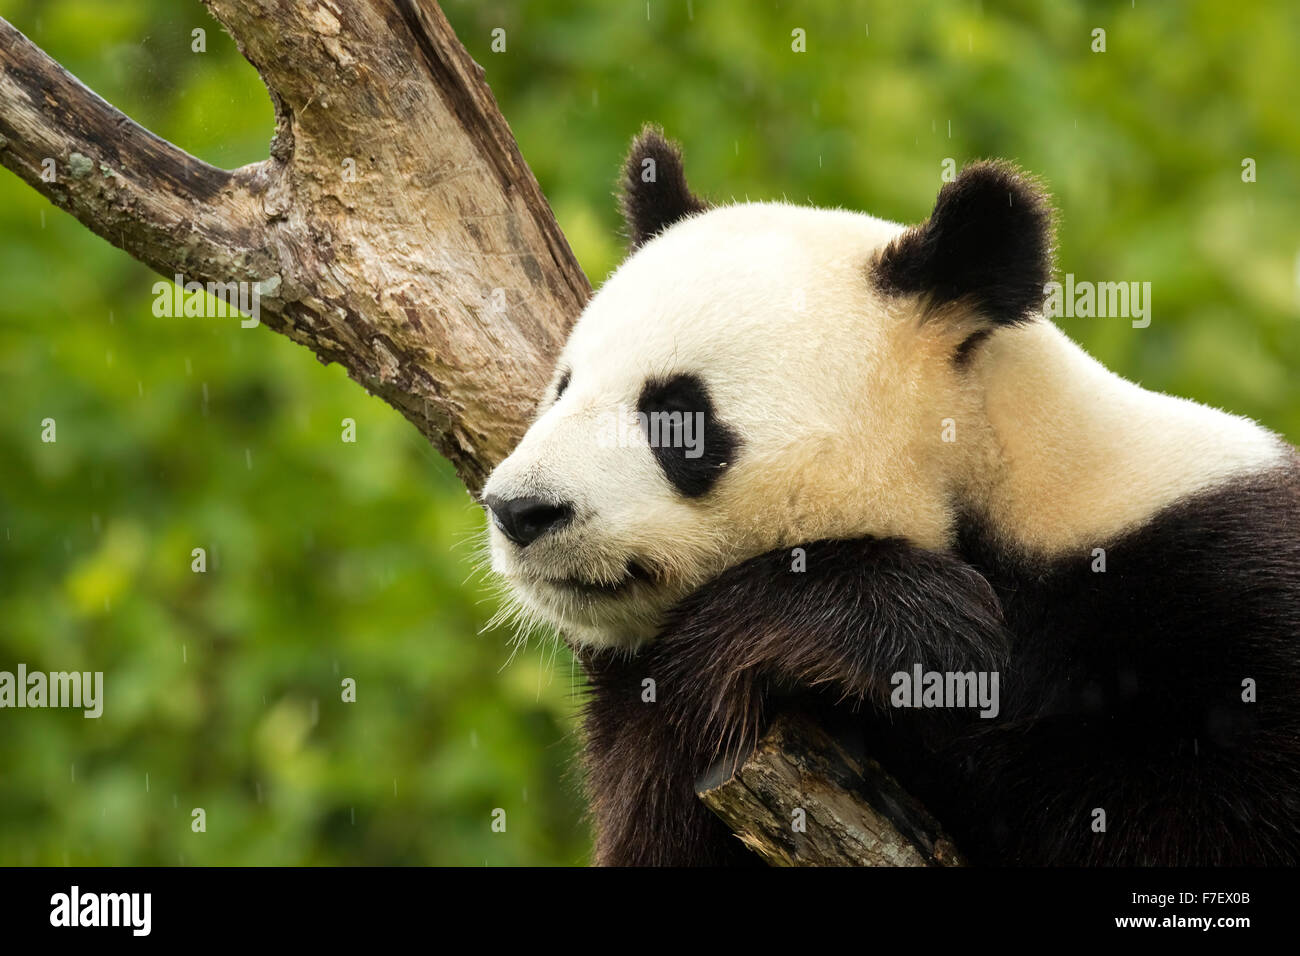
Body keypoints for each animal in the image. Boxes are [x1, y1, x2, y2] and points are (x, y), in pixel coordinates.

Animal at [481, 126, 1300, 866]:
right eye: (563, 387)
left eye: (676, 417)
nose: (521, 510)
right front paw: (904, 622)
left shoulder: (1218, 578)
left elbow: (1188, 816)